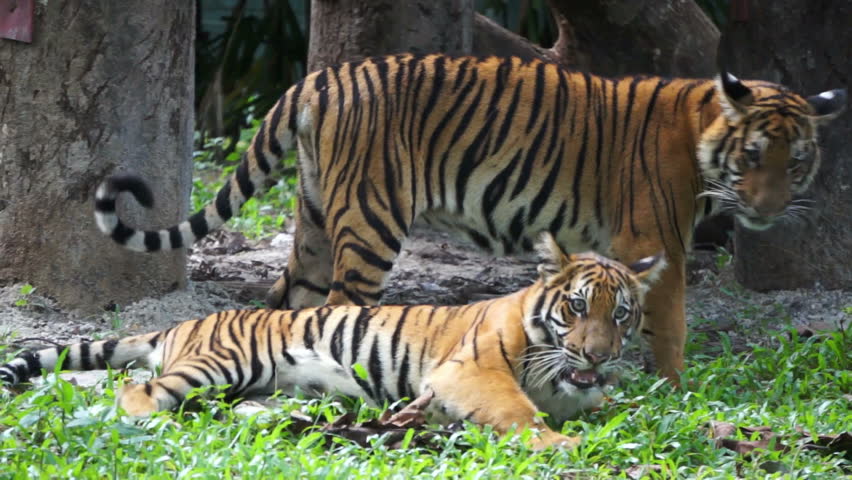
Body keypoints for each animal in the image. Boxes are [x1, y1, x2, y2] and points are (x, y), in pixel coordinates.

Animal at [0, 237, 665, 450]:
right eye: (576, 307)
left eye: (620, 315)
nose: (599, 355)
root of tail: (181, 324)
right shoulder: (469, 373)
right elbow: (518, 412)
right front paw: (562, 445)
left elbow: (609, 405)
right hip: (222, 362)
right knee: (139, 390)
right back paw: (153, 423)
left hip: (253, 385)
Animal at [93, 54, 846, 383]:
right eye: (753, 156)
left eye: (797, 161)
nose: (767, 209)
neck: (700, 137)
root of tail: (320, 77)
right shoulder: (654, 242)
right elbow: (670, 329)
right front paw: (675, 390)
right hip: (370, 223)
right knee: (340, 310)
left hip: (313, 224)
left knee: (285, 307)